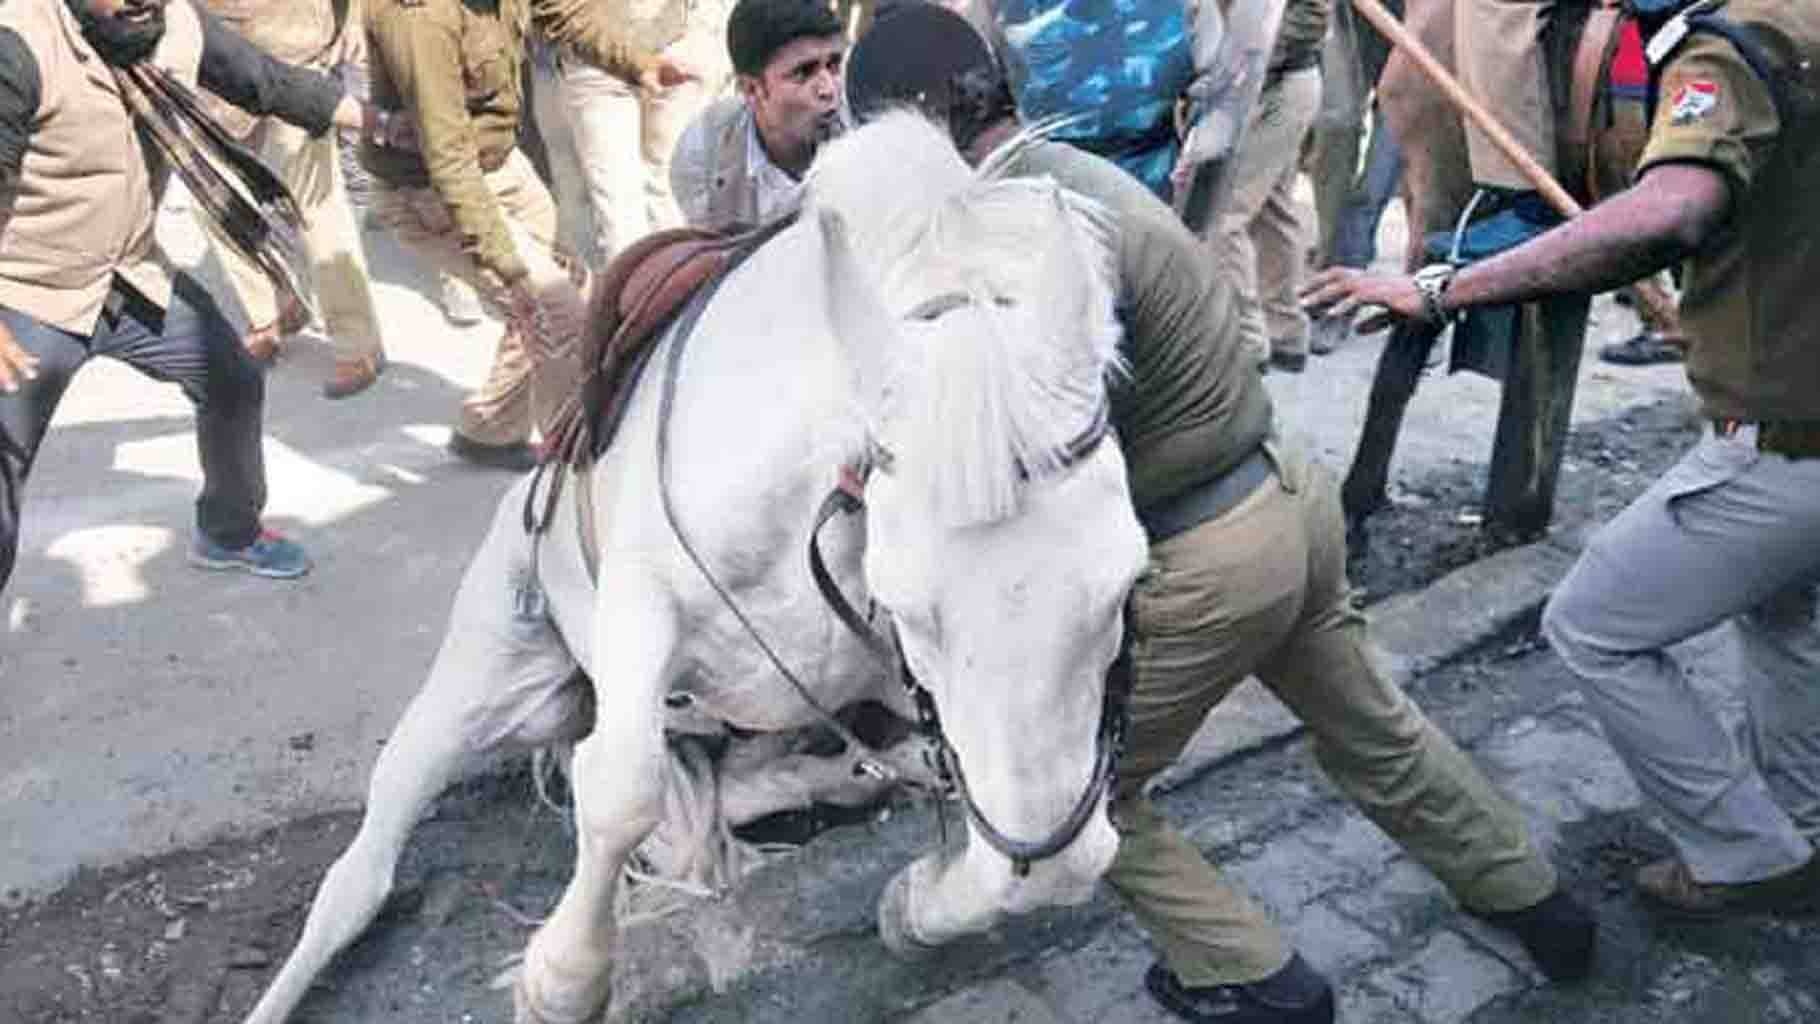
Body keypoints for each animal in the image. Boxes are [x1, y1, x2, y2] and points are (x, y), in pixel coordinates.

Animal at [242, 111, 1148, 1024]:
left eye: (1125, 584)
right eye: (910, 606)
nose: (1049, 862)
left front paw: (919, 904)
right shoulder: (643, 598)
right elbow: (620, 789)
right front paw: (560, 981)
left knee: (755, 785)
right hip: (482, 681)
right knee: (361, 872)